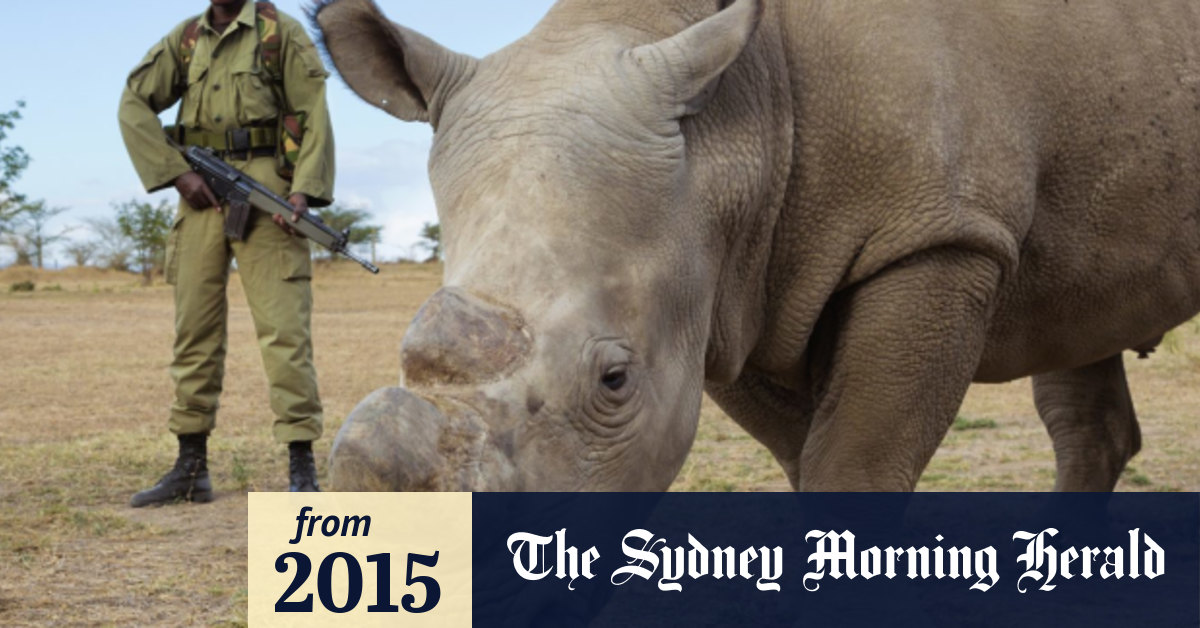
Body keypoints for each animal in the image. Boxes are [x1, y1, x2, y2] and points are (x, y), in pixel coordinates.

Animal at [312, 0, 1200, 491]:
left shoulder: (938, 236)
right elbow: (805, 460)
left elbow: (852, 467)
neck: (733, 123)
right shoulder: (730, 285)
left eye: (614, 380)